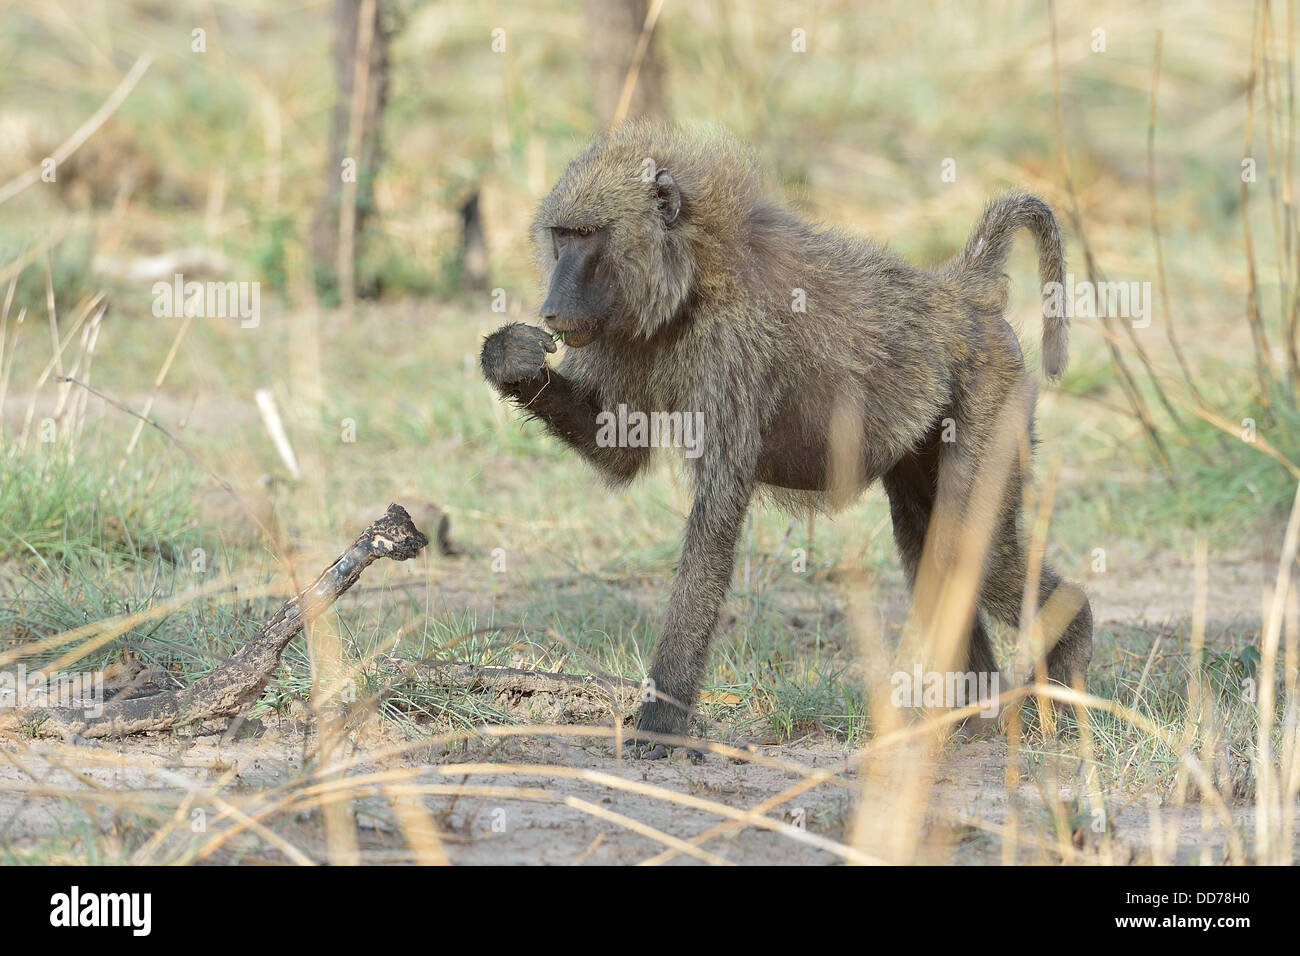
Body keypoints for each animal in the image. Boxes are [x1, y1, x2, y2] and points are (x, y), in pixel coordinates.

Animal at [480, 122, 1093, 754]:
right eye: (560, 236)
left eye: (587, 235)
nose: (553, 308)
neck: (692, 277)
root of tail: (961, 292)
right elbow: (618, 451)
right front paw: (511, 358)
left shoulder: (732, 353)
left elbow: (716, 515)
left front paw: (661, 721)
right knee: (933, 546)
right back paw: (970, 718)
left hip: (994, 393)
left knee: (966, 546)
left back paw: (1064, 674)